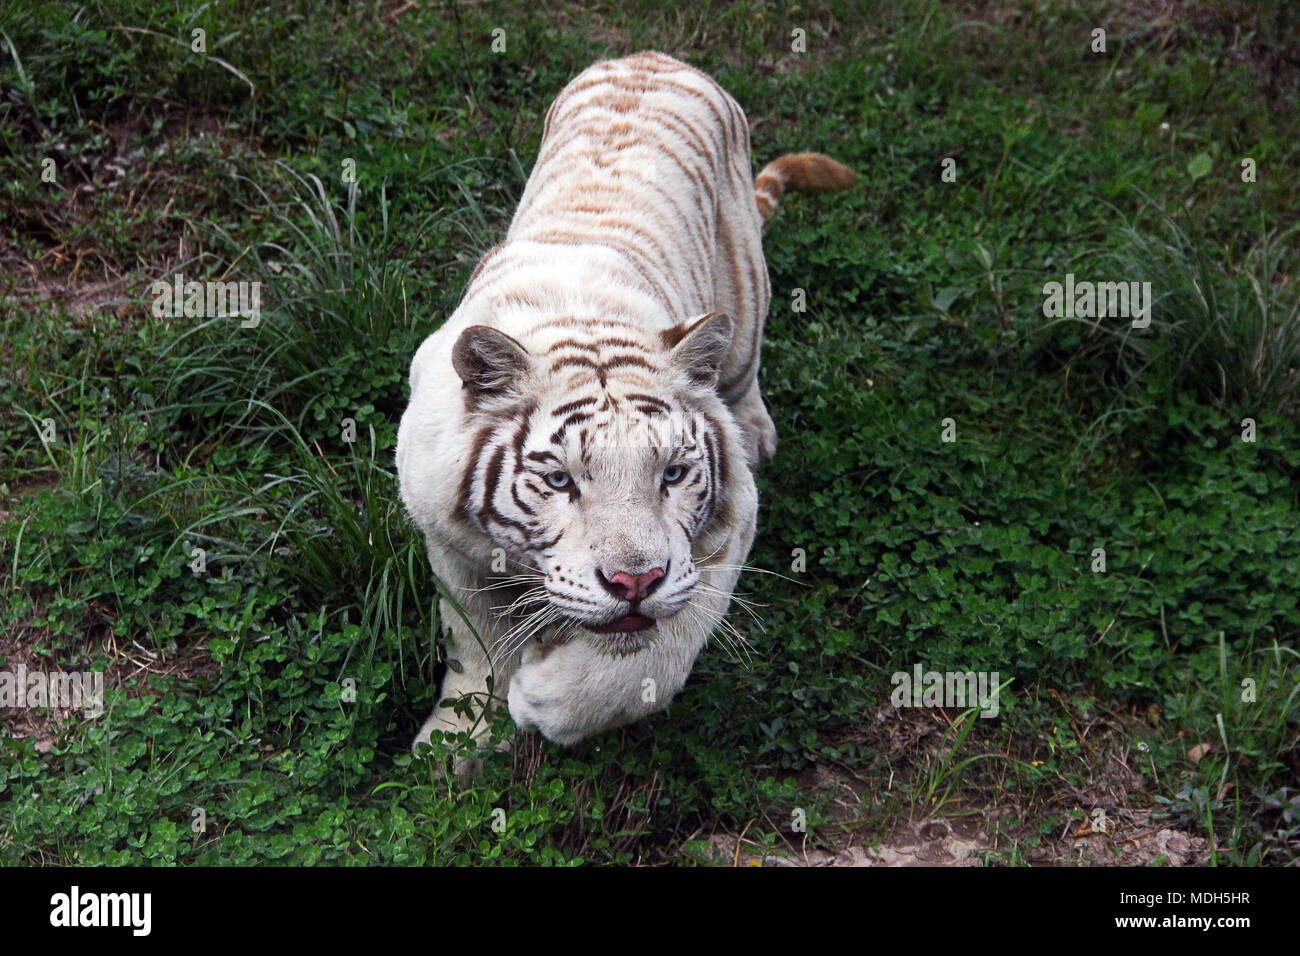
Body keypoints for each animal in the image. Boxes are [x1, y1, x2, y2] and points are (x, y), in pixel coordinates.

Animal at [396, 50, 854, 773]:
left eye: (673, 474)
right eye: (559, 480)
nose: (633, 582)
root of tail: (654, 57)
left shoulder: (729, 525)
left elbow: (661, 650)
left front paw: (550, 699)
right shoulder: (448, 541)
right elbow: (473, 645)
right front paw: (452, 746)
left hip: (744, 294)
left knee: (746, 363)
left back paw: (755, 428)